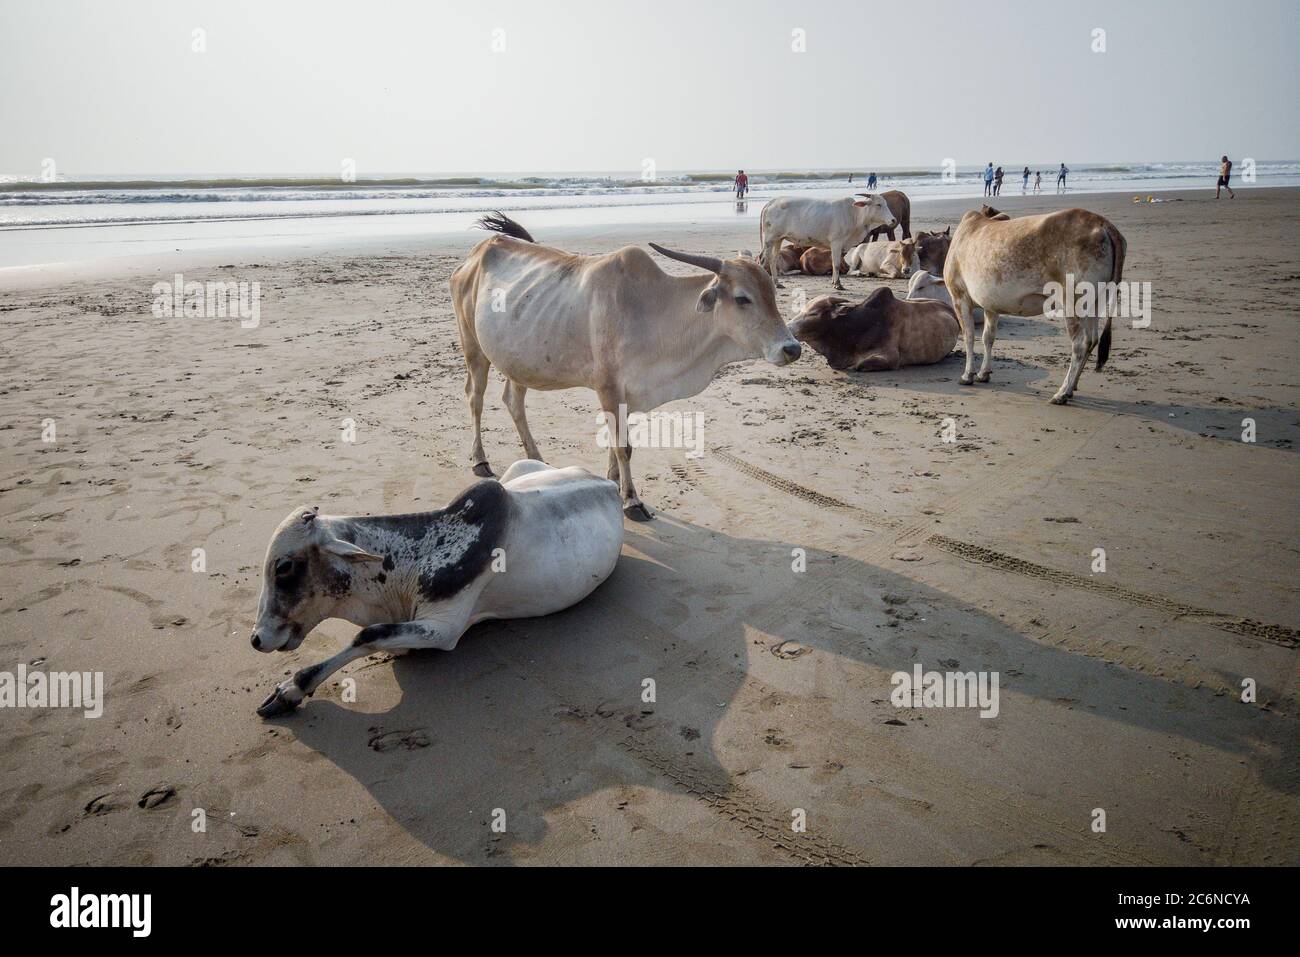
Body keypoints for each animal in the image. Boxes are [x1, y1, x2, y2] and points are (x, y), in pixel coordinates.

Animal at [251, 460, 624, 717]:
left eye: (284, 568)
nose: (256, 639)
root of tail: (610, 484)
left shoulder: (443, 629)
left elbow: (369, 635)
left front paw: (291, 689)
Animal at [450, 213, 801, 519]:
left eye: (772, 293)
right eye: (743, 298)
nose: (792, 348)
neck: (651, 311)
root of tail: (478, 252)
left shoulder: (626, 394)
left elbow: (616, 442)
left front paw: (614, 481)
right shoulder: (607, 387)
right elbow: (623, 446)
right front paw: (632, 500)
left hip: (518, 360)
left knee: (513, 400)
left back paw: (538, 461)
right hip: (473, 346)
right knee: (475, 397)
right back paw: (480, 460)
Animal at [759, 194, 896, 290]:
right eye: (878, 205)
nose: (893, 220)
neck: (854, 215)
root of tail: (771, 202)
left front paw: (834, 282)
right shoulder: (836, 242)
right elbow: (836, 263)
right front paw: (837, 284)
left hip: (778, 239)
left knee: (773, 259)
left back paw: (777, 283)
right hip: (770, 239)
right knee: (762, 258)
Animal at [943, 205, 1126, 403]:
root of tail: (1102, 223)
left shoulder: (959, 297)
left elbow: (969, 336)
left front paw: (967, 375)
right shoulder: (991, 305)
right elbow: (988, 337)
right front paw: (984, 373)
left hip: (1071, 302)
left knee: (1080, 343)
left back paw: (1062, 393)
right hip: (1096, 301)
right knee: (1092, 339)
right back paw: (1072, 387)